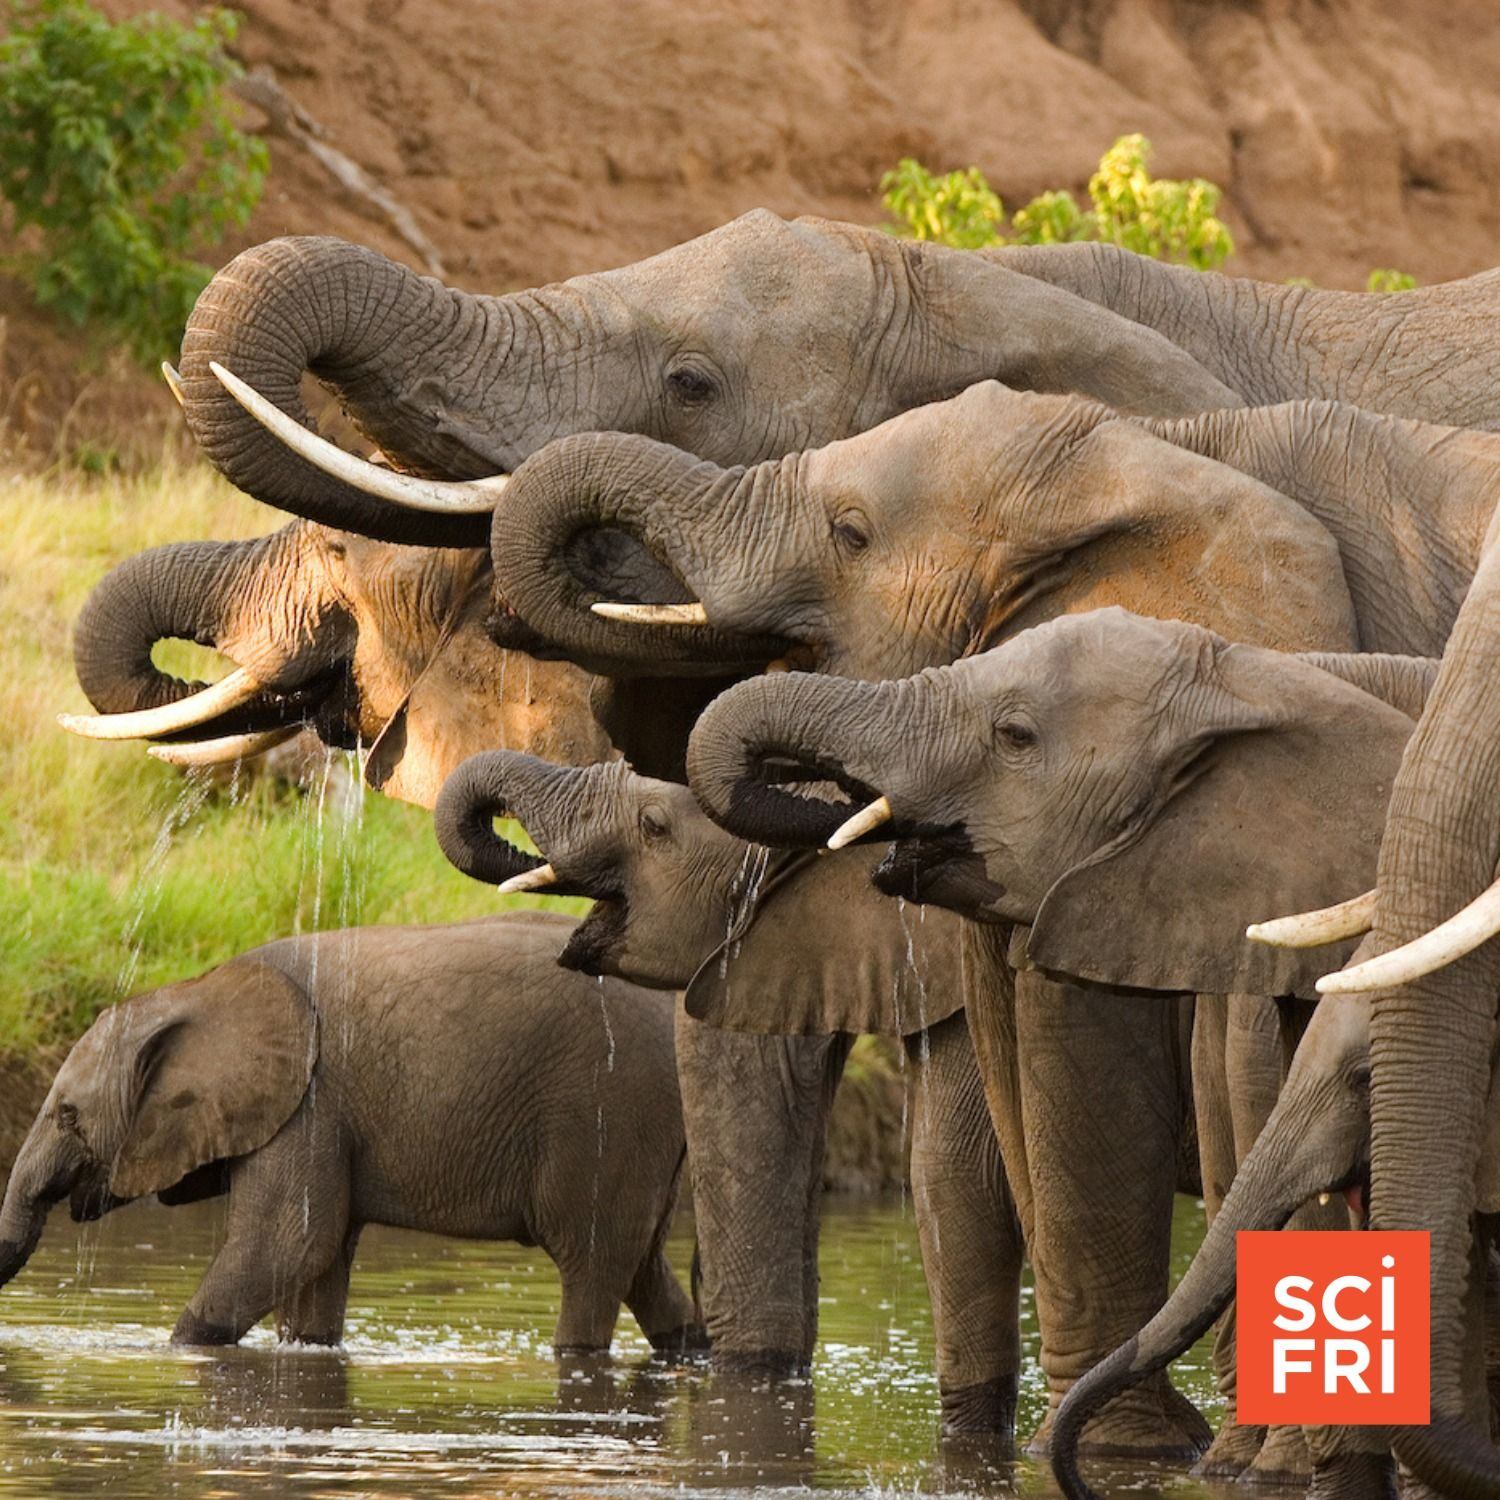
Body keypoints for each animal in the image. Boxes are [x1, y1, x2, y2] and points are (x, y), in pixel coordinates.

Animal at [0, 910, 699, 1356]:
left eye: (68, 1115)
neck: (196, 990)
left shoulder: (309, 1106)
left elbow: (286, 1246)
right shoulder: (320, 1116)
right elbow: (316, 1264)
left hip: (611, 1112)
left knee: (591, 1265)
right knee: (644, 1267)